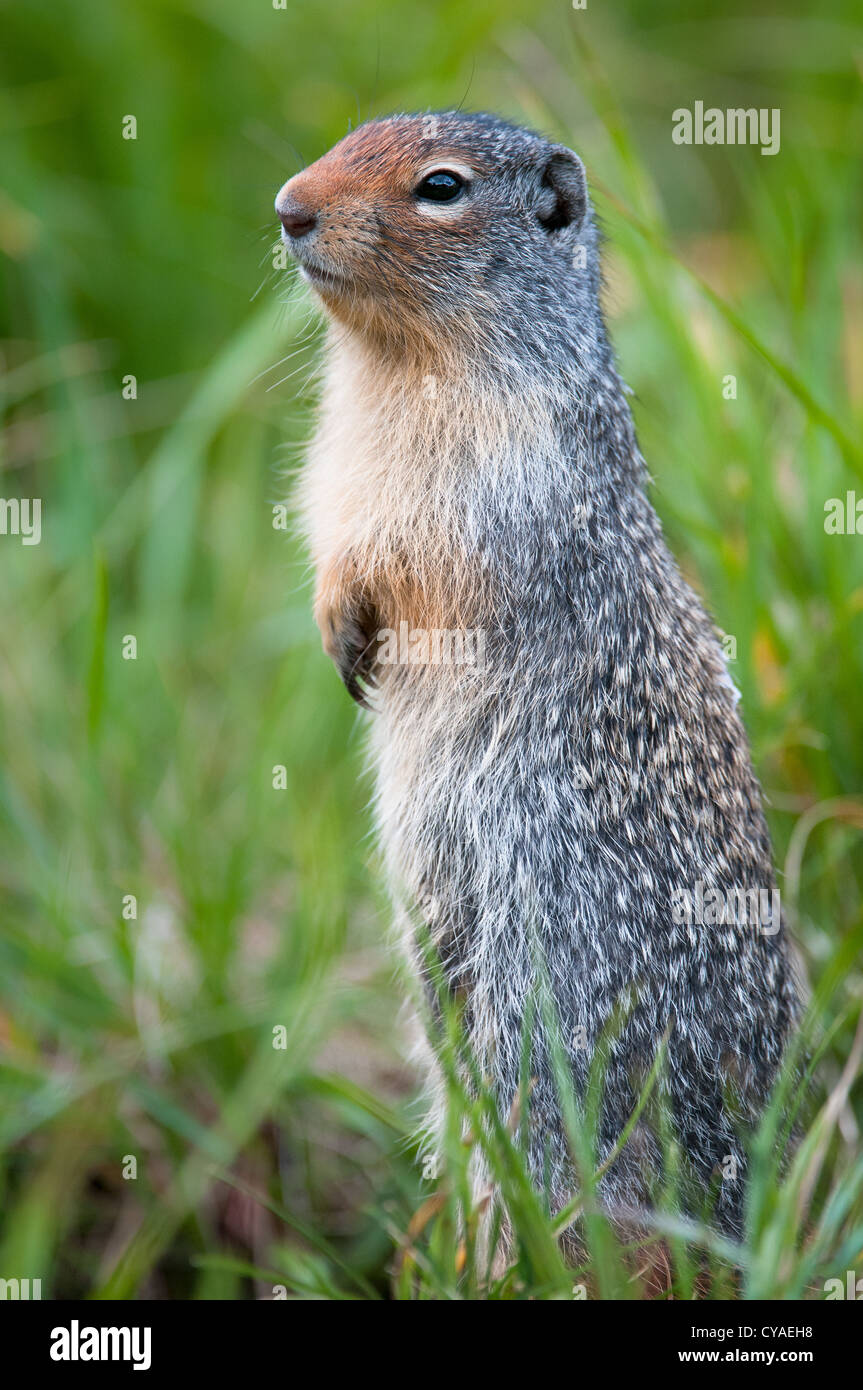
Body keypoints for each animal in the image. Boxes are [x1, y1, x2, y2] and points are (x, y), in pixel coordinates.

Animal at [275, 111, 800, 1249]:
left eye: (440, 187)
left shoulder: (494, 485)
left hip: (545, 990)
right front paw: (335, 632)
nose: (288, 207)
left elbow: (420, 563)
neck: (395, 366)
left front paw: (357, 629)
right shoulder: (339, 474)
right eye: (347, 135)